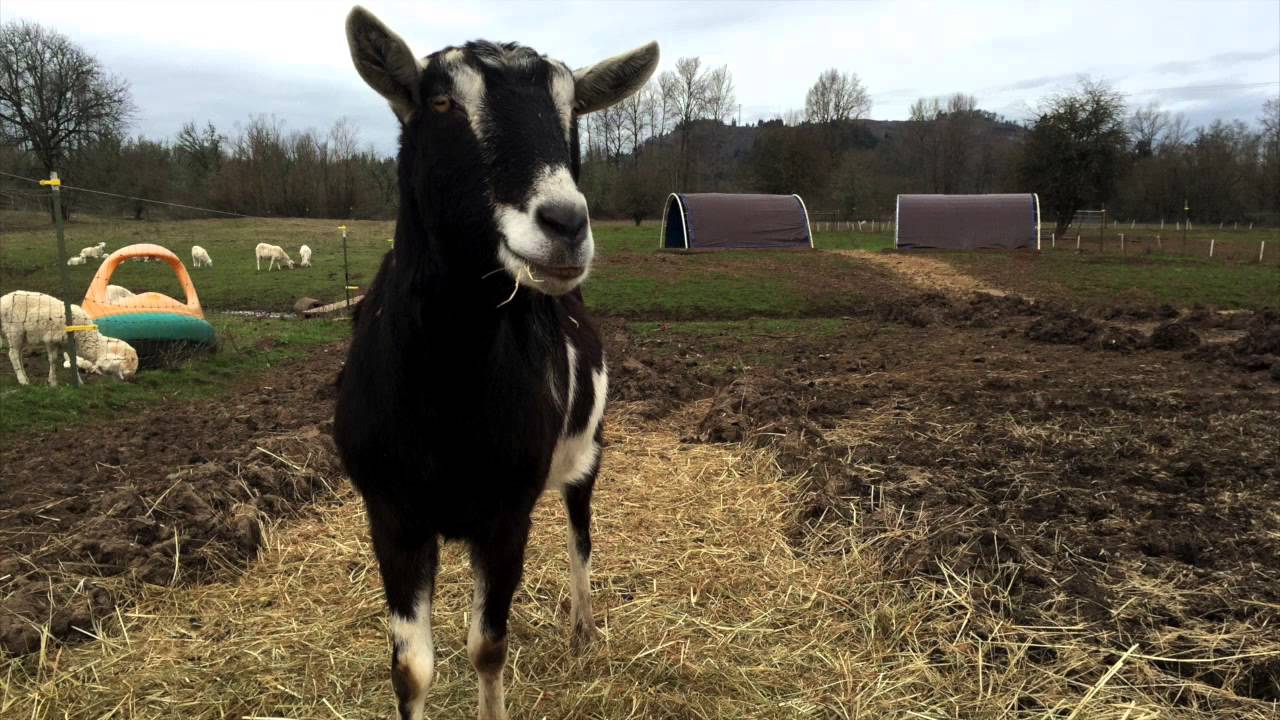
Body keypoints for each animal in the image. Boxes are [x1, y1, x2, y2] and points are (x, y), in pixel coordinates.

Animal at [333, 8, 657, 720]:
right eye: (443, 102)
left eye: (570, 111)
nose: (565, 224)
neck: (445, 390)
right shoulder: (392, 514)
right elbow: (411, 670)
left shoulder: (507, 514)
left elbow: (488, 647)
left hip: (587, 452)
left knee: (580, 538)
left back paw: (583, 627)